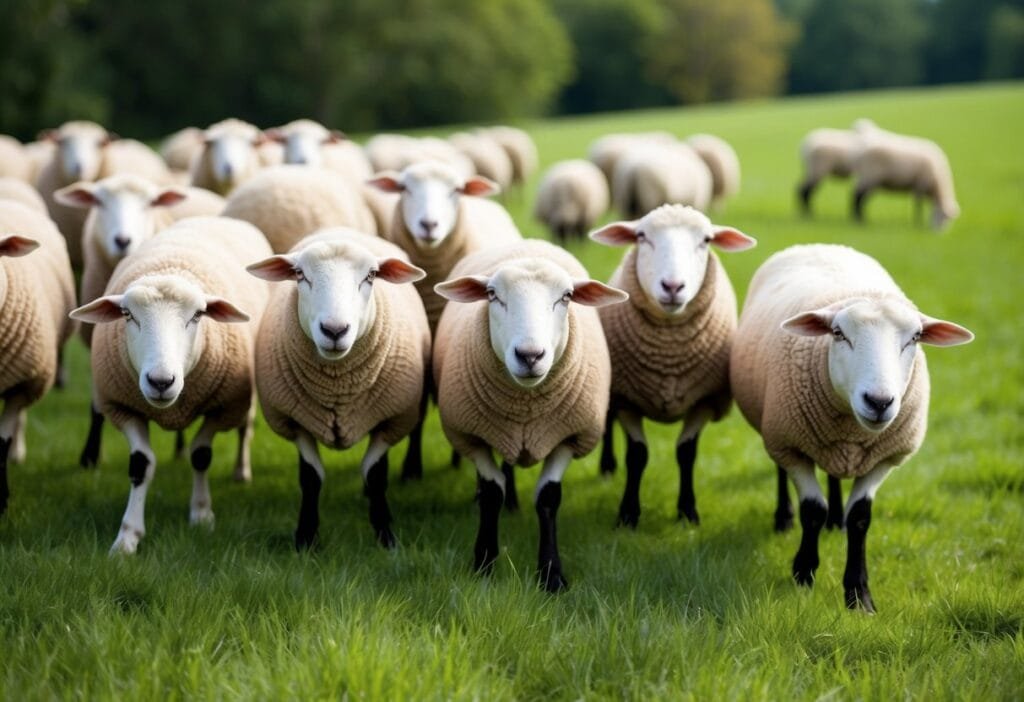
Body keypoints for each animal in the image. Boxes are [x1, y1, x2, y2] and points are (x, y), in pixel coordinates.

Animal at [69, 216, 271, 554]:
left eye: (198, 315)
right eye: (127, 315)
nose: (161, 381)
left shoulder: (223, 407)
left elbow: (201, 455)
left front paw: (201, 515)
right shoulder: (123, 407)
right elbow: (140, 465)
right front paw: (127, 538)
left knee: (246, 428)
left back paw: (241, 472)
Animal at [246, 228, 430, 550]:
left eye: (371, 275)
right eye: (299, 274)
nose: (334, 330)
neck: (337, 387)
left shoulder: (389, 420)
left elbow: (376, 474)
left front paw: (386, 536)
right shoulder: (296, 422)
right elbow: (311, 478)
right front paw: (306, 538)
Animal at [433, 239, 628, 591]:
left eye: (566, 297)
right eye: (493, 295)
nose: (530, 355)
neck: (527, 410)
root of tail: (527, 243)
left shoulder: (570, 438)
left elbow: (548, 498)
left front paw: (551, 575)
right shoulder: (471, 436)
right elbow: (491, 492)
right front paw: (484, 563)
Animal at [590, 205, 756, 527]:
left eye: (706, 240)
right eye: (642, 236)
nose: (673, 286)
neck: (669, 355)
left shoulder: (705, 400)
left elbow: (686, 453)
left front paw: (688, 512)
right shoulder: (626, 398)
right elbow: (637, 455)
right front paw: (628, 514)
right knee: (608, 420)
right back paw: (606, 467)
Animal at [729, 243, 973, 612]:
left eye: (915, 337)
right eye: (838, 333)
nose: (879, 401)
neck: (853, 430)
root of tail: (821, 245)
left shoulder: (886, 458)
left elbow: (860, 517)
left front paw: (858, 595)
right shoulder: (791, 445)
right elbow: (812, 510)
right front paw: (804, 573)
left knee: (833, 476)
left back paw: (836, 522)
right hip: (776, 429)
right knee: (781, 471)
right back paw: (784, 518)